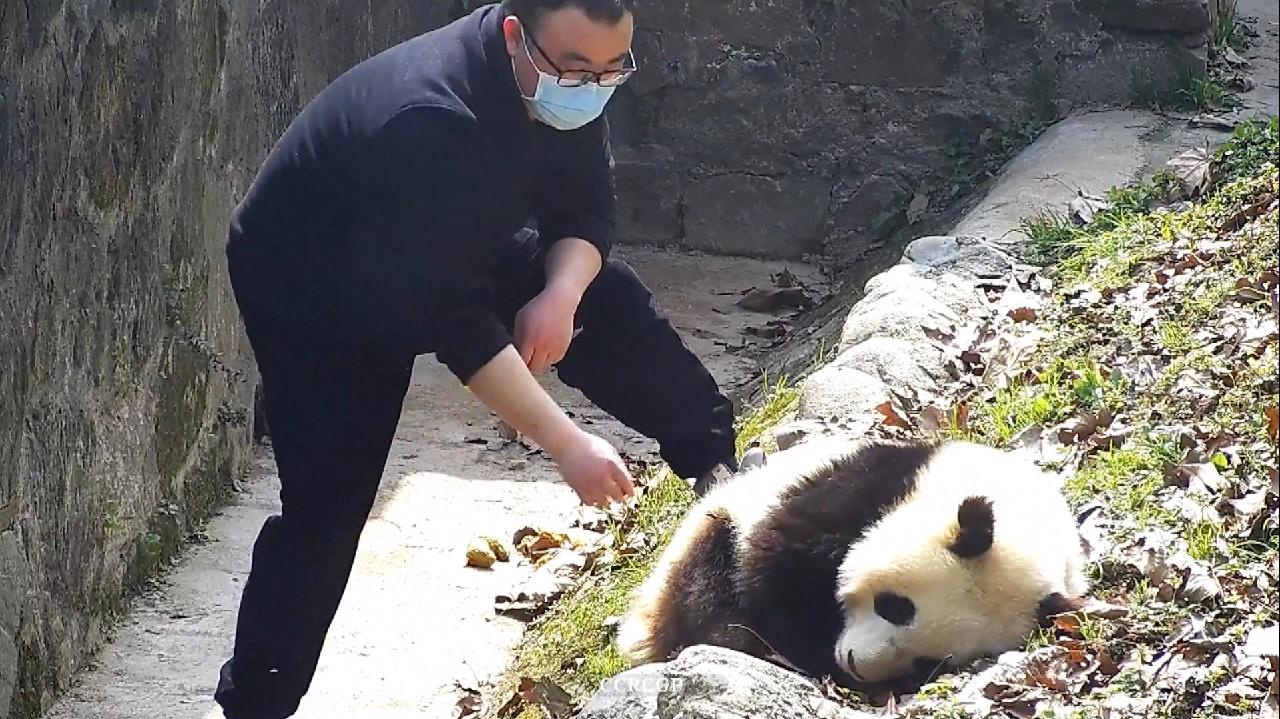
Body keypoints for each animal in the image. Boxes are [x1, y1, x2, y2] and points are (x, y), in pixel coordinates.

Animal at [615, 436, 1090, 686]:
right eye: (896, 607)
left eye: (930, 662)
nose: (854, 663)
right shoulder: (852, 492)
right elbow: (774, 572)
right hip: (710, 531)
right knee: (704, 581)